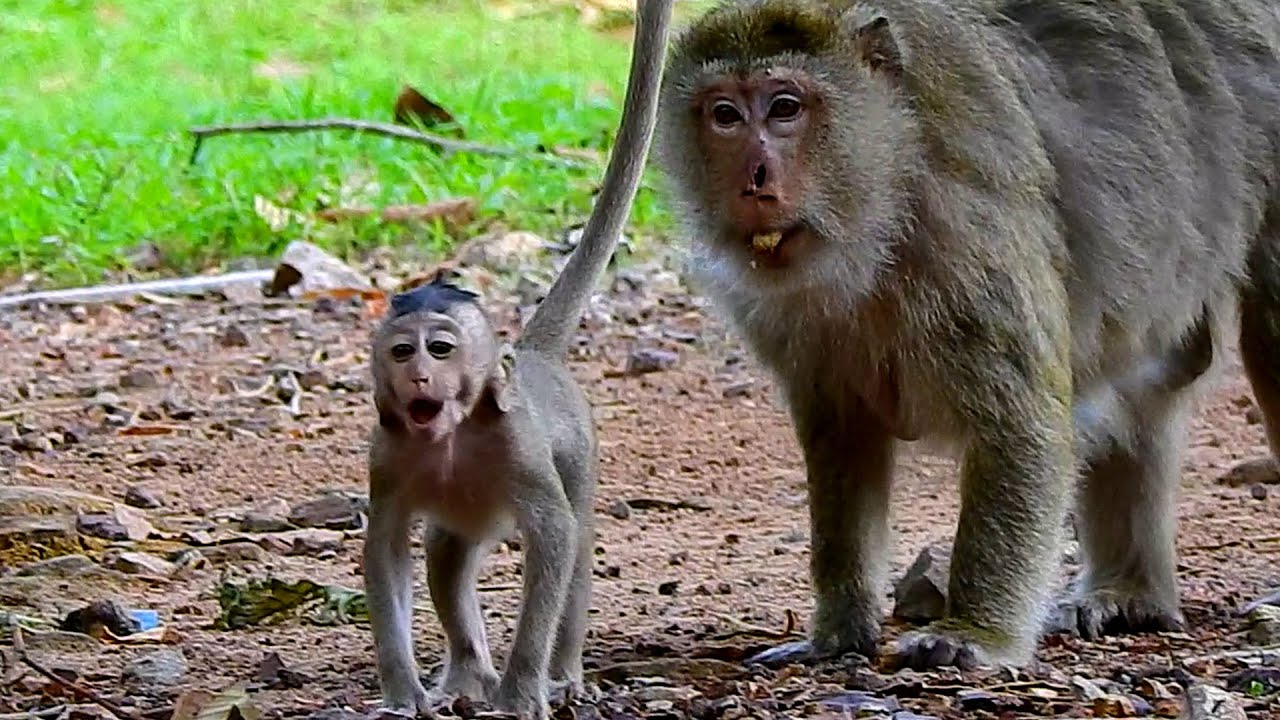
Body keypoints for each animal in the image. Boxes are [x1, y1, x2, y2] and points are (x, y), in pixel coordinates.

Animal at [361, 2, 673, 717]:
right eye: (402, 350)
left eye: (440, 348)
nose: (419, 374)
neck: (451, 436)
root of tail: (531, 356)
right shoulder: (386, 459)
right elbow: (386, 550)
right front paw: (401, 690)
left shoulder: (520, 446)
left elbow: (554, 539)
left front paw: (525, 686)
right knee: (448, 554)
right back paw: (466, 672)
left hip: (580, 448)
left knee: (575, 548)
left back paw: (561, 673)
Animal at [652, 0, 1280, 671]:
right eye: (724, 115)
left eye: (785, 107)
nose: (755, 176)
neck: (889, 190)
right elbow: (842, 438)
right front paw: (836, 631)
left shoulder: (969, 237)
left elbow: (1020, 427)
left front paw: (974, 632)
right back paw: (1132, 593)